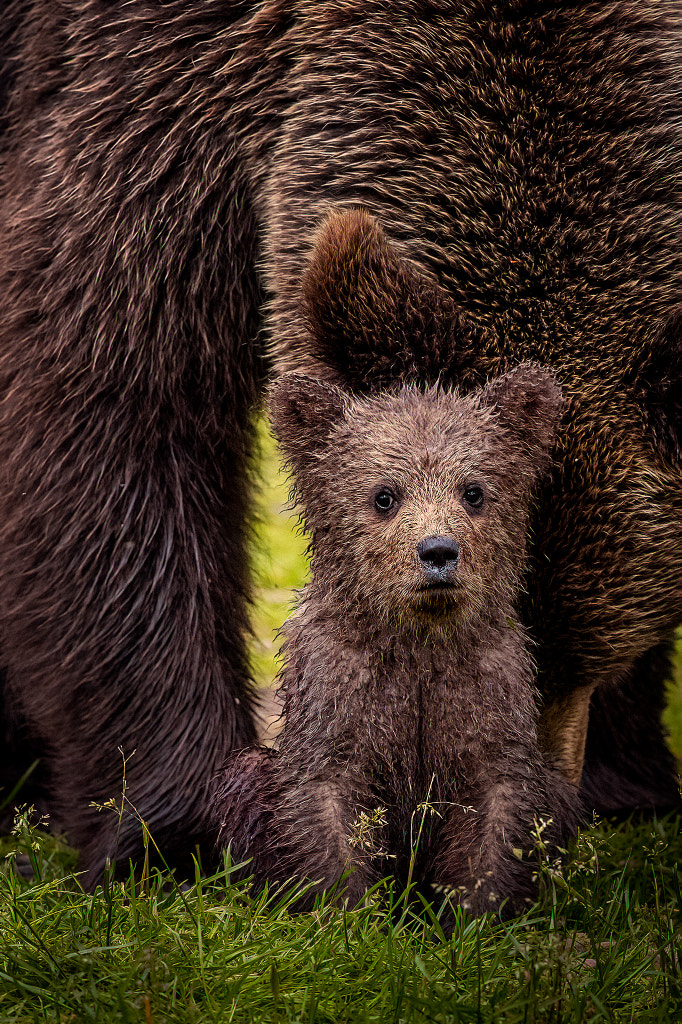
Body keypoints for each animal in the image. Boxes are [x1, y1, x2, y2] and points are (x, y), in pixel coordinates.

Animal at [217, 366, 581, 919]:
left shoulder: (489, 687)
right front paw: (345, 911)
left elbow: (500, 813)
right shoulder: (339, 690)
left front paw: (477, 913)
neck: (418, 644)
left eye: (474, 491)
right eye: (384, 495)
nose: (438, 552)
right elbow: (325, 805)